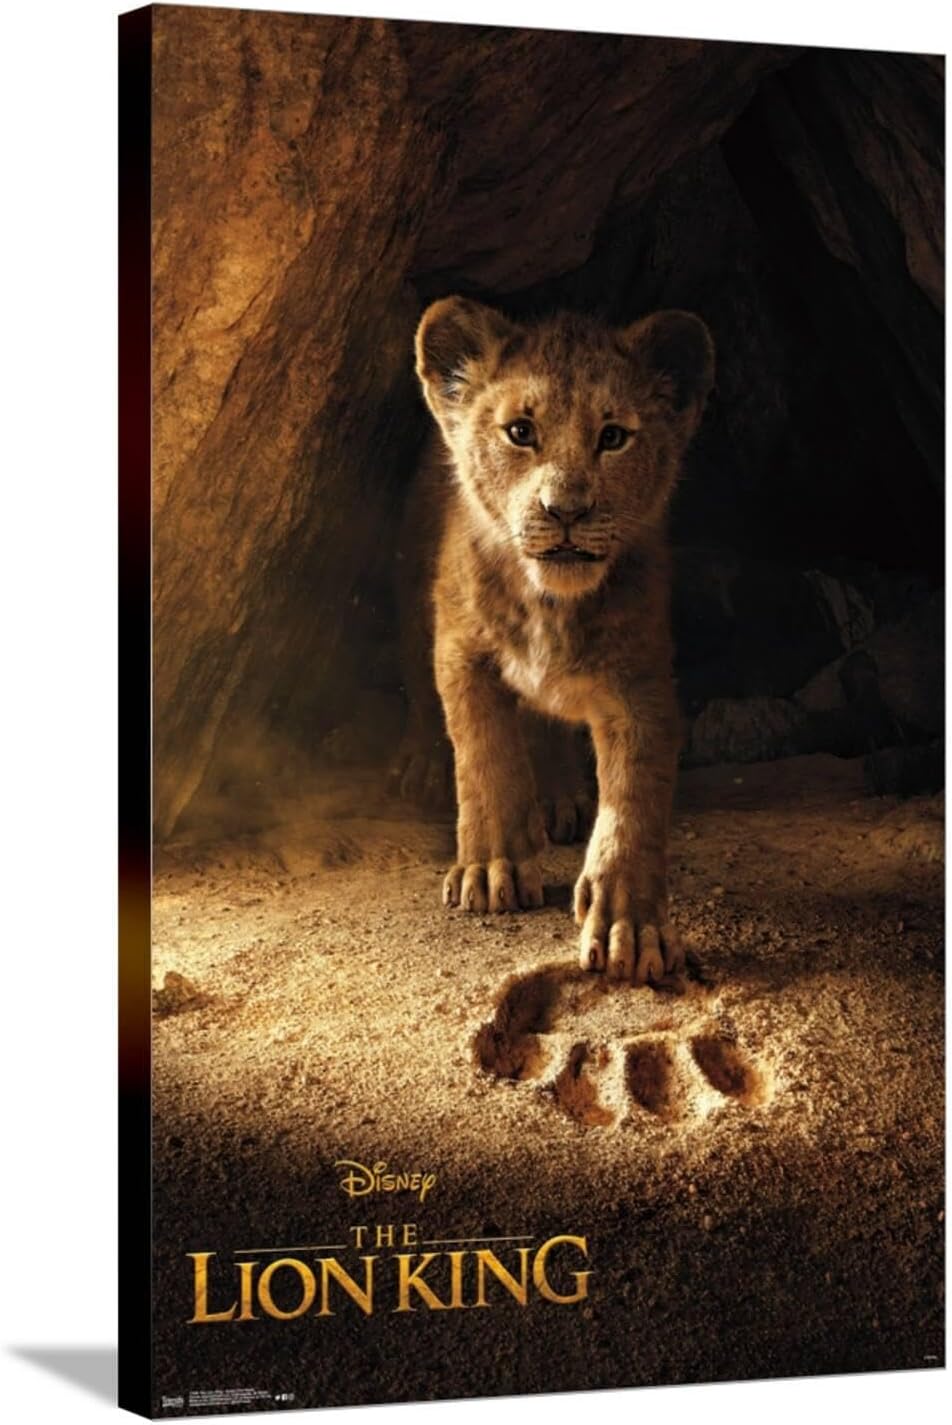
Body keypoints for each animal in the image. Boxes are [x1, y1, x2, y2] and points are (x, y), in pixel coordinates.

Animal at [396, 297, 714, 984]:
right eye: (520, 431)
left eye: (613, 437)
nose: (565, 509)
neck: (550, 603)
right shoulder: (461, 653)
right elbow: (485, 756)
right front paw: (491, 868)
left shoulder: (641, 683)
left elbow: (633, 801)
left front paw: (630, 926)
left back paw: (561, 796)